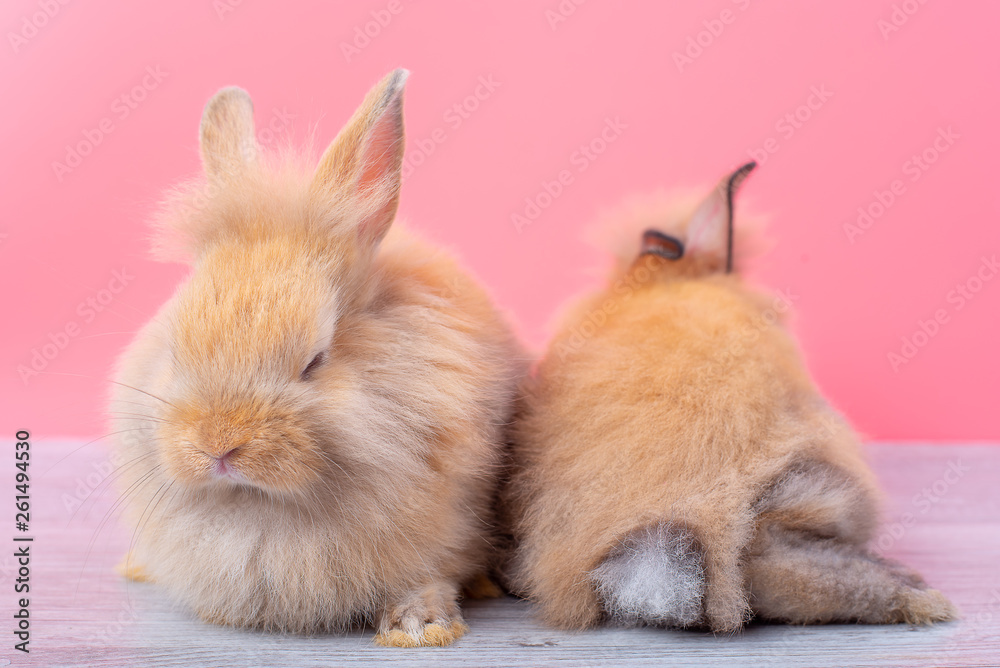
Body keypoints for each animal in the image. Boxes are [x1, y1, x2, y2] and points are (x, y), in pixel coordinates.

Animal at [108, 69, 525, 647]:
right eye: (173, 349)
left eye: (315, 361)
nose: (218, 447)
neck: (262, 505)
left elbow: (427, 575)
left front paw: (419, 626)